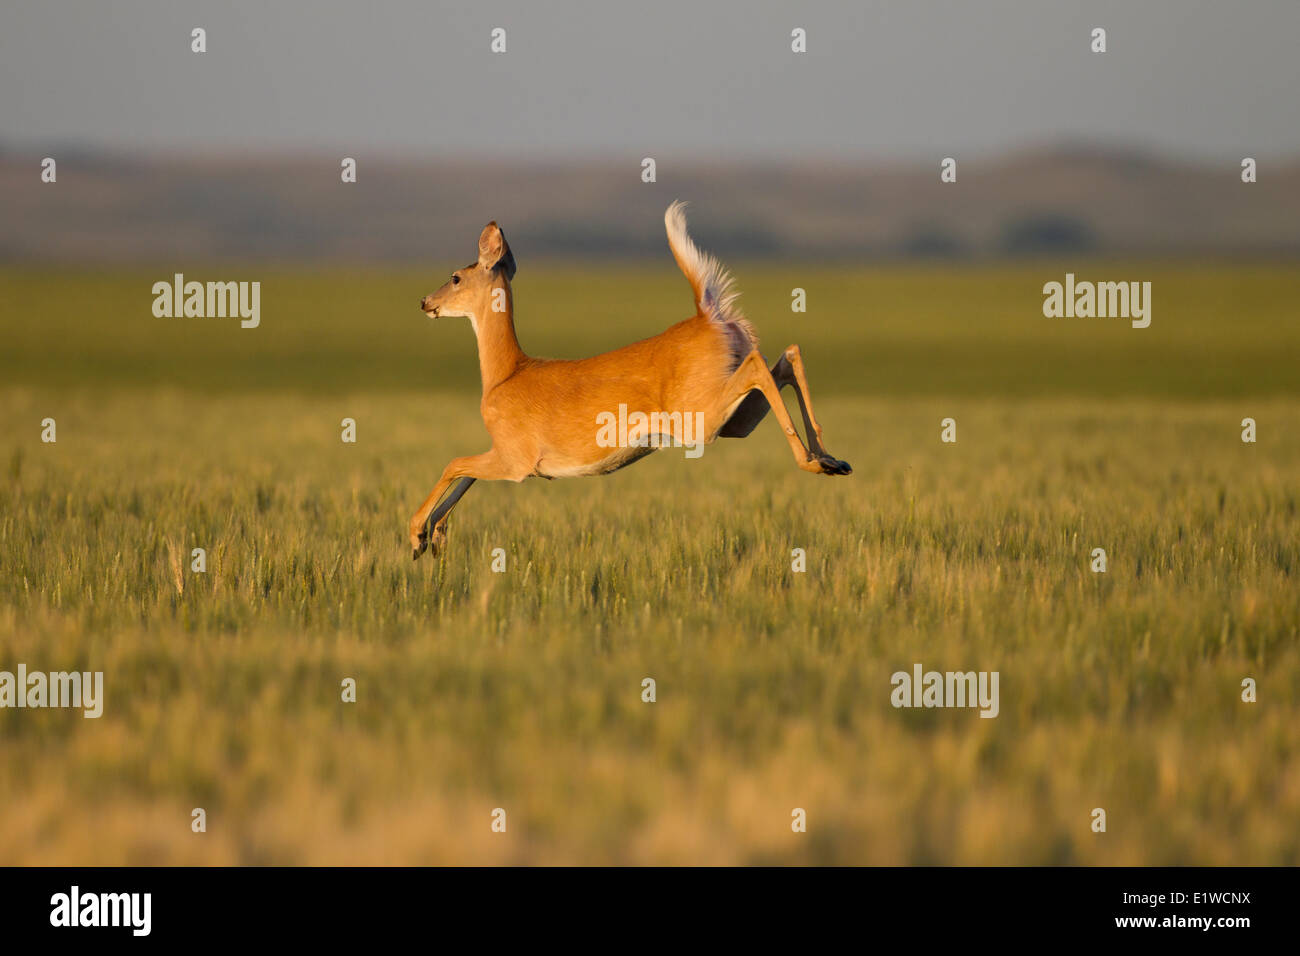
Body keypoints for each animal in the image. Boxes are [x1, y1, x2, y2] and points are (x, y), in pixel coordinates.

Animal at [410, 201, 851, 560]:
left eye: (455, 277)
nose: (425, 302)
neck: (506, 373)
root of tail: (709, 316)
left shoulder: (516, 459)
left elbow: (455, 464)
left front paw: (416, 536)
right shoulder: (504, 455)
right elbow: (464, 475)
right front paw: (437, 536)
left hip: (701, 419)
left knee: (763, 363)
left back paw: (815, 462)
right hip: (734, 419)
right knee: (786, 357)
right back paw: (833, 460)